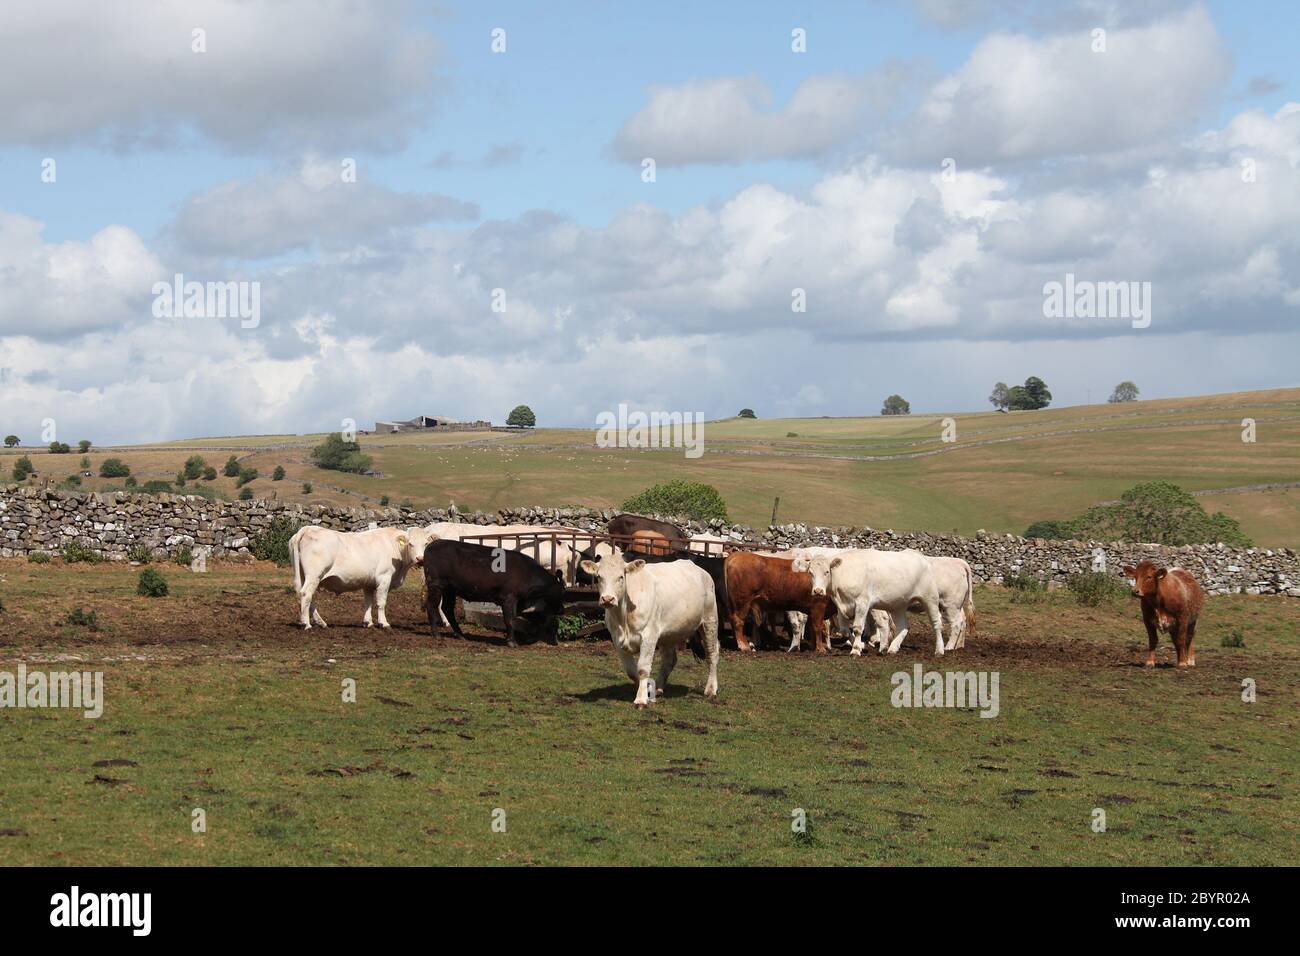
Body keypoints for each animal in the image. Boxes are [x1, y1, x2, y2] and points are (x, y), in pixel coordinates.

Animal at [289, 525, 437, 629]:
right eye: (410, 543)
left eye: (426, 543)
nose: (420, 559)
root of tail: (307, 528)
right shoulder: (384, 578)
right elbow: (381, 602)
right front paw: (384, 623)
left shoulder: (369, 583)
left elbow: (368, 602)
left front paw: (368, 622)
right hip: (314, 575)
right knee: (306, 594)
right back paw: (306, 624)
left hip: (307, 576)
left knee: (308, 597)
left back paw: (321, 623)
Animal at [421, 539, 566, 647]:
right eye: (562, 590)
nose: (562, 610)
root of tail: (432, 545)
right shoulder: (509, 598)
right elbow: (509, 619)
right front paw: (512, 642)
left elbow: (515, 619)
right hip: (436, 584)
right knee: (432, 605)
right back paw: (437, 634)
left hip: (450, 589)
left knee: (447, 608)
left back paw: (460, 635)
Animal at [579, 548, 719, 707]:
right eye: (598, 577)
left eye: (621, 576)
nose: (607, 599)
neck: (624, 617)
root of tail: (699, 569)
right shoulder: (616, 638)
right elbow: (631, 670)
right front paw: (646, 689)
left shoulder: (649, 636)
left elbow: (642, 668)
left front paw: (641, 699)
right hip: (669, 633)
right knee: (669, 660)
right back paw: (658, 687)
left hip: (709, 620)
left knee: (712, 654)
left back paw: (711, 689)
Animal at [795, 549, 945, 656]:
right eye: (810, 572)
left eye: (827, 572)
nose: (818, 591)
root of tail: (920, 557)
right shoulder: (841, 606)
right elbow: (844, 629)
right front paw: (859, 645)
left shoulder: (862, 603)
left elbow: (857, 628)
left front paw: (856, 649)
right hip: (898, 605)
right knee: (903, 626)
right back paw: (892, 648)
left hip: (930, 599)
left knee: (937, 624)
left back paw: (939, 650)